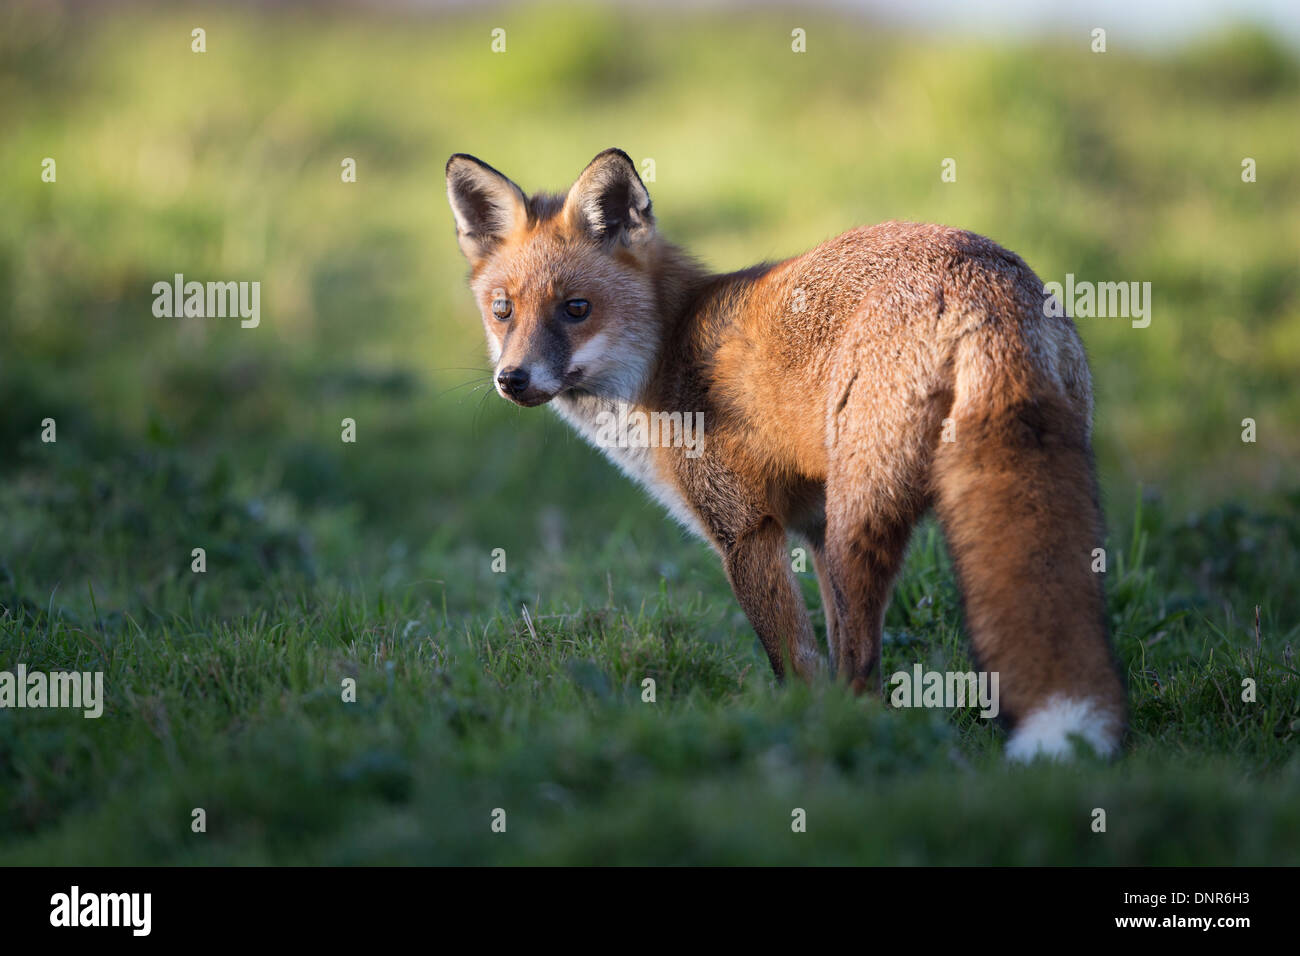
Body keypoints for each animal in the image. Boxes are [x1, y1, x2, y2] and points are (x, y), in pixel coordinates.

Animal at [445, 147, 1127, 761]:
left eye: (576, 309)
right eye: (503, 311)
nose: (513, 379)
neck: (662, 358)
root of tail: (981, 278)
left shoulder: (744, 529)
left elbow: (796, 660)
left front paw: (800, 725)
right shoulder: (814, 528)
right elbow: (822, 647)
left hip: (859, 518)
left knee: (860, 663)